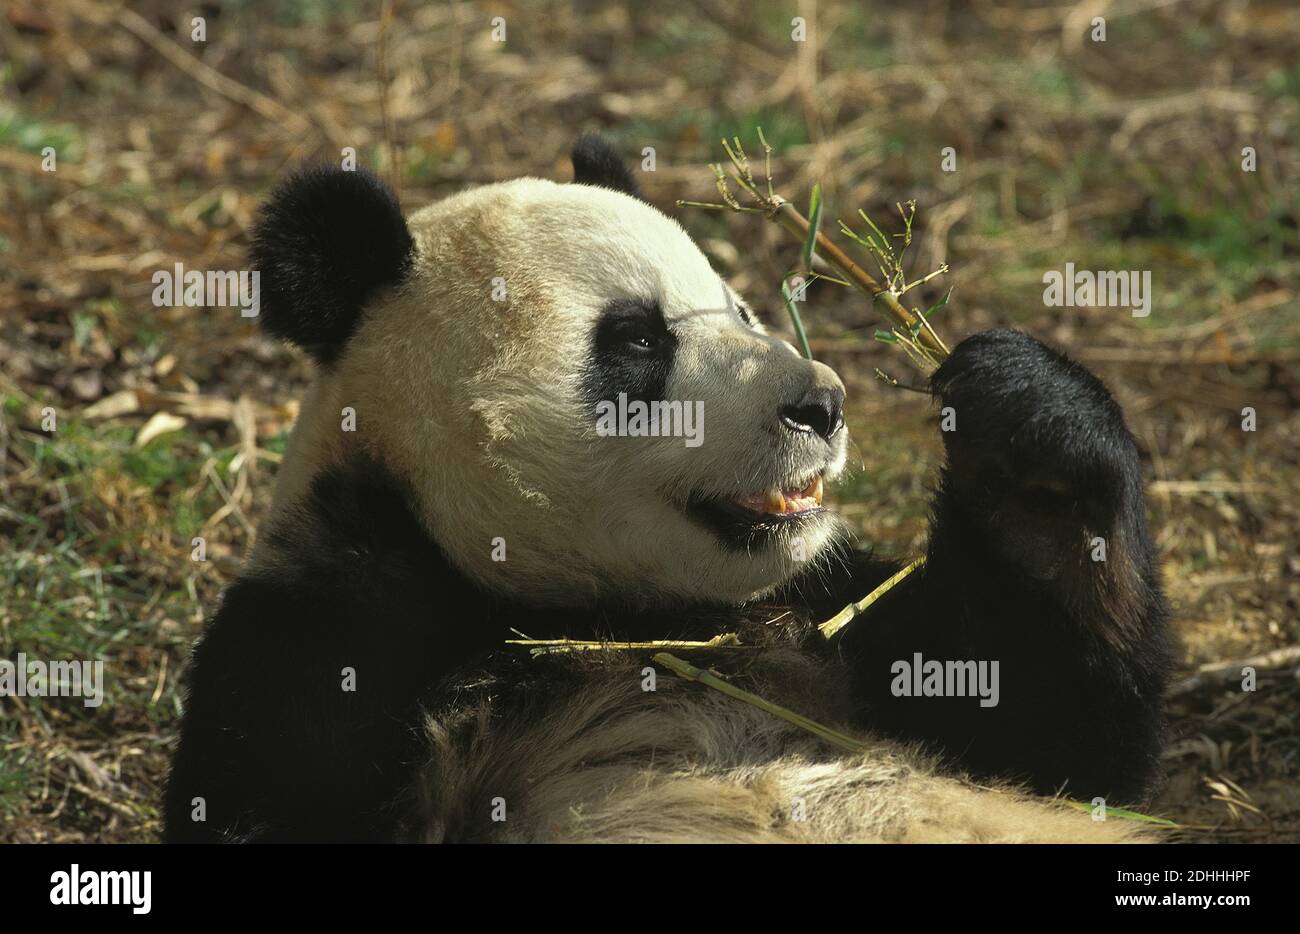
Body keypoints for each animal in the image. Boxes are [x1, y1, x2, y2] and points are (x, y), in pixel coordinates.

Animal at [163, 135, 1171, 843]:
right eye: (639, 340)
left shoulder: (819, 610)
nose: (821, 404)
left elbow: (1048, 732)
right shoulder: (328, 627)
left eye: (742, 309)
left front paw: (1028, 435)